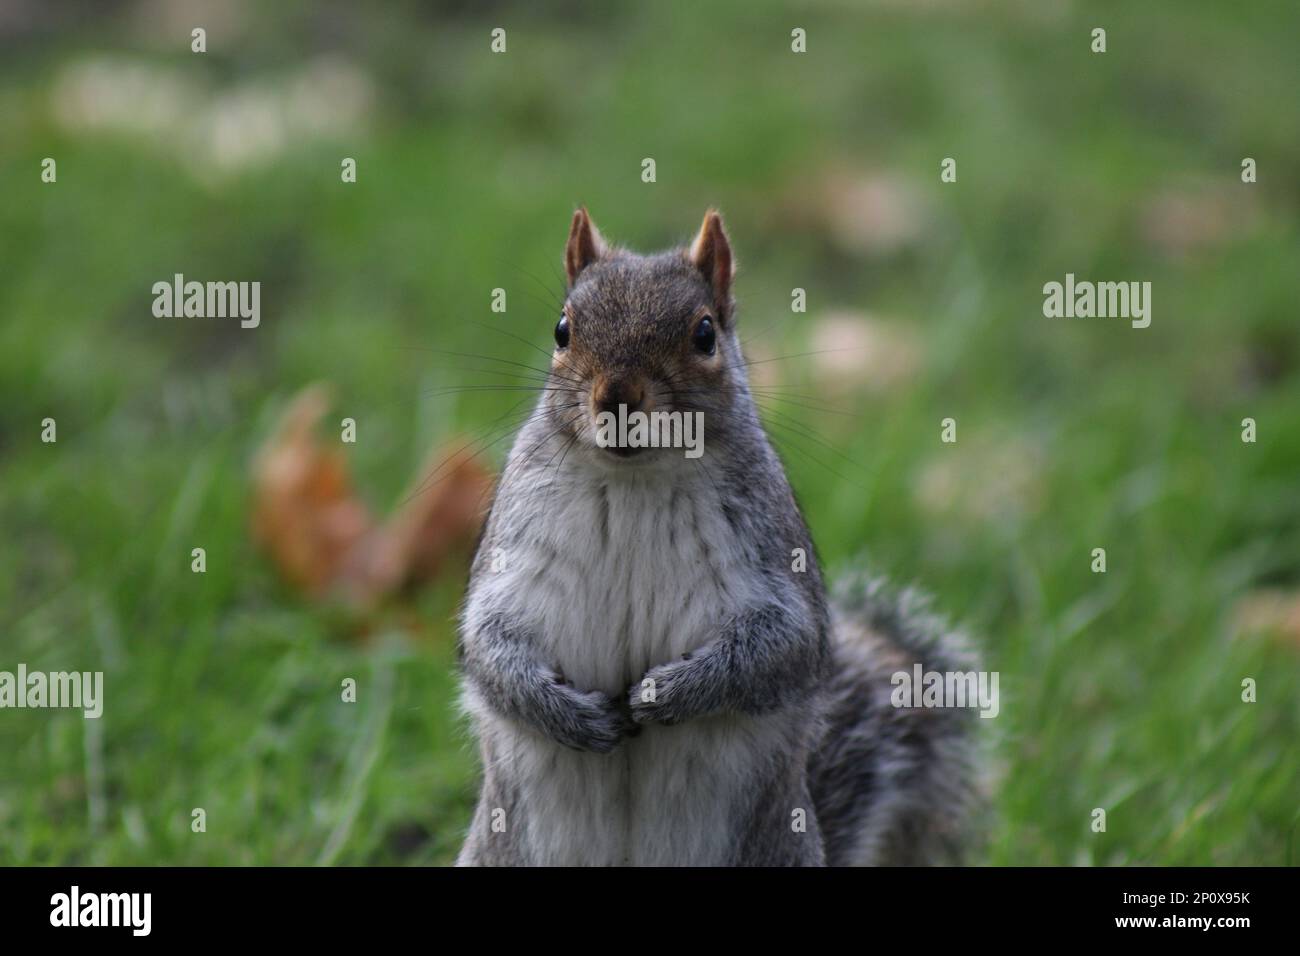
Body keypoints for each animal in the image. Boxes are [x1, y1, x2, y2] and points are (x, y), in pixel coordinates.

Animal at [456, 208, 981, 865]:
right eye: (562, 330)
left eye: (705, 334)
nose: (617, 398)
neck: (636, 478)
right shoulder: (516, 557)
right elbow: (489, 647)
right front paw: (571, 716)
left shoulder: (774, 561)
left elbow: (782, 646)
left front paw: (664, 694)